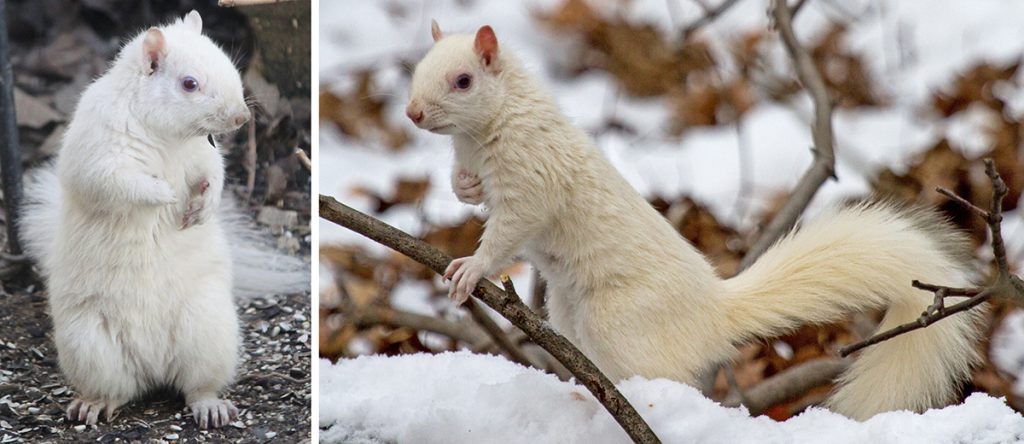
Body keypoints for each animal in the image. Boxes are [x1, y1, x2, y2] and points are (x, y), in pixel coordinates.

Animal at [17, 11, 308, 429]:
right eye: (189, 84)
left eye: (227, 64)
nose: (242, 117)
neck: (165, 132)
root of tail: (153, 367)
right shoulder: (99, 153)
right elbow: (117, 183)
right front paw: (165, 193)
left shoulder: (202, 155)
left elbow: (214, 173)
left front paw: (203, 206)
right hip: (90, 342)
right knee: (116, 389)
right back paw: (93, 404)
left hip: (209, 328)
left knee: (196, 386)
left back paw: (210, 406)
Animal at [406, 21, 985, 421]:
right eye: (415, 69)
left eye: (463, 80)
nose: (413, 113)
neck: (485, 131)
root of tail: (712, 314)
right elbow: (465, 187)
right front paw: (465, 187)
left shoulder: (534, 178)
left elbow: (512, 229)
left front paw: (471, 269)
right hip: (572, 317)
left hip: (621, 324)